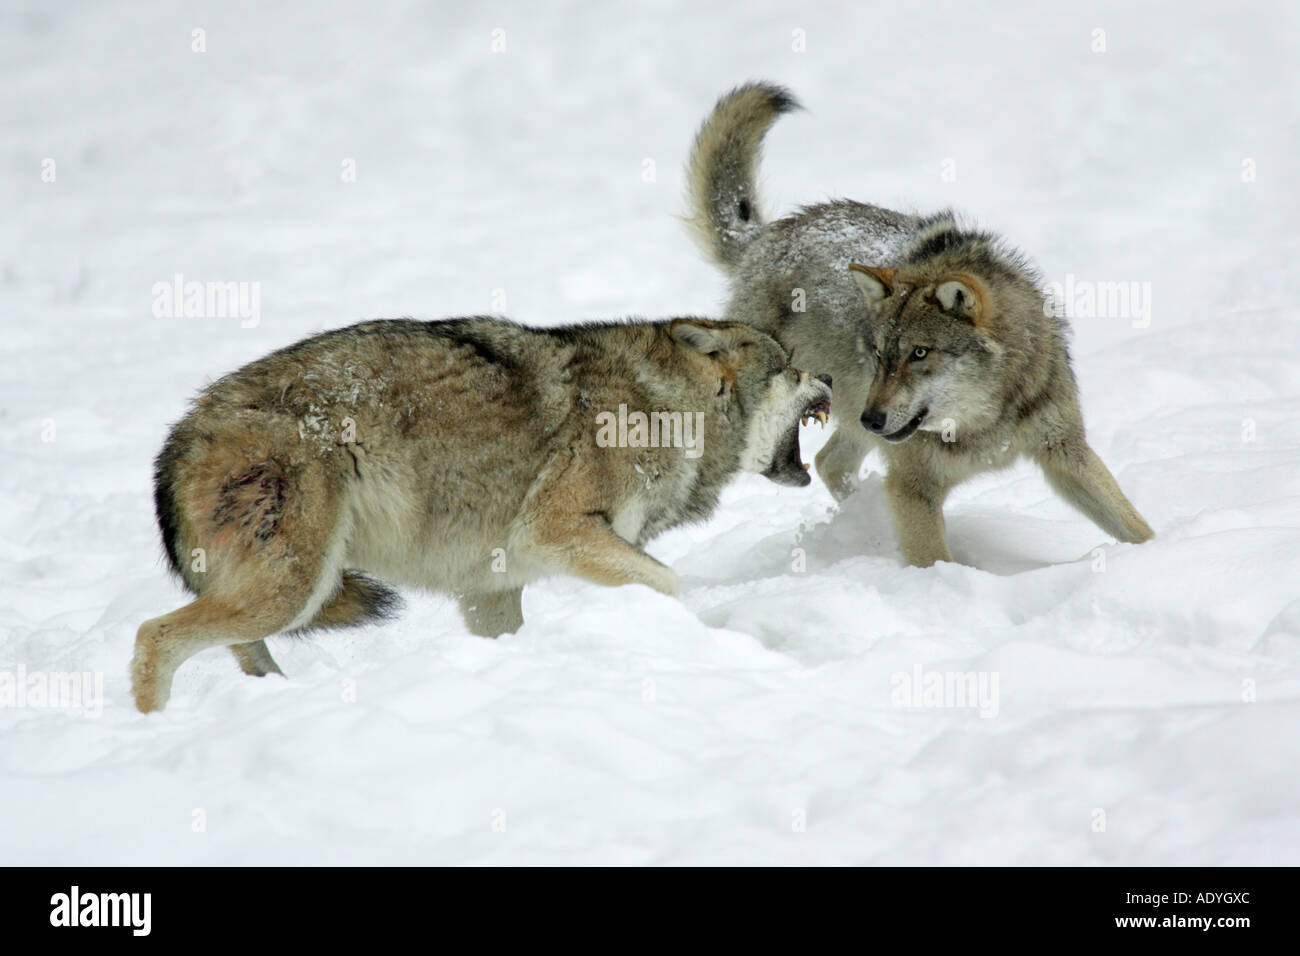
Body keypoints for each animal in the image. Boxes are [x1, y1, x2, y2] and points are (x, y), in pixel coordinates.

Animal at [133, 315, 831, 712]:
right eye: (790, 365)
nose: (826, 375)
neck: (666, 408)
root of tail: (184, 431)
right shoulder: (558, 529)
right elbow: (668, 582)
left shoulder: (490, 590)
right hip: (295, 587)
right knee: (153, 637)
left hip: (289, 593)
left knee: (235, 649)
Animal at [684, 82, 1153, 567]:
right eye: (878, 353)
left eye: (919, 352)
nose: (873, 417)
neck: (982, 424)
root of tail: (766, 237)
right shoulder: (913, 488)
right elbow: (933, 562)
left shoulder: (1068, 454)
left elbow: (1134, 524)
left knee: (831, 463)